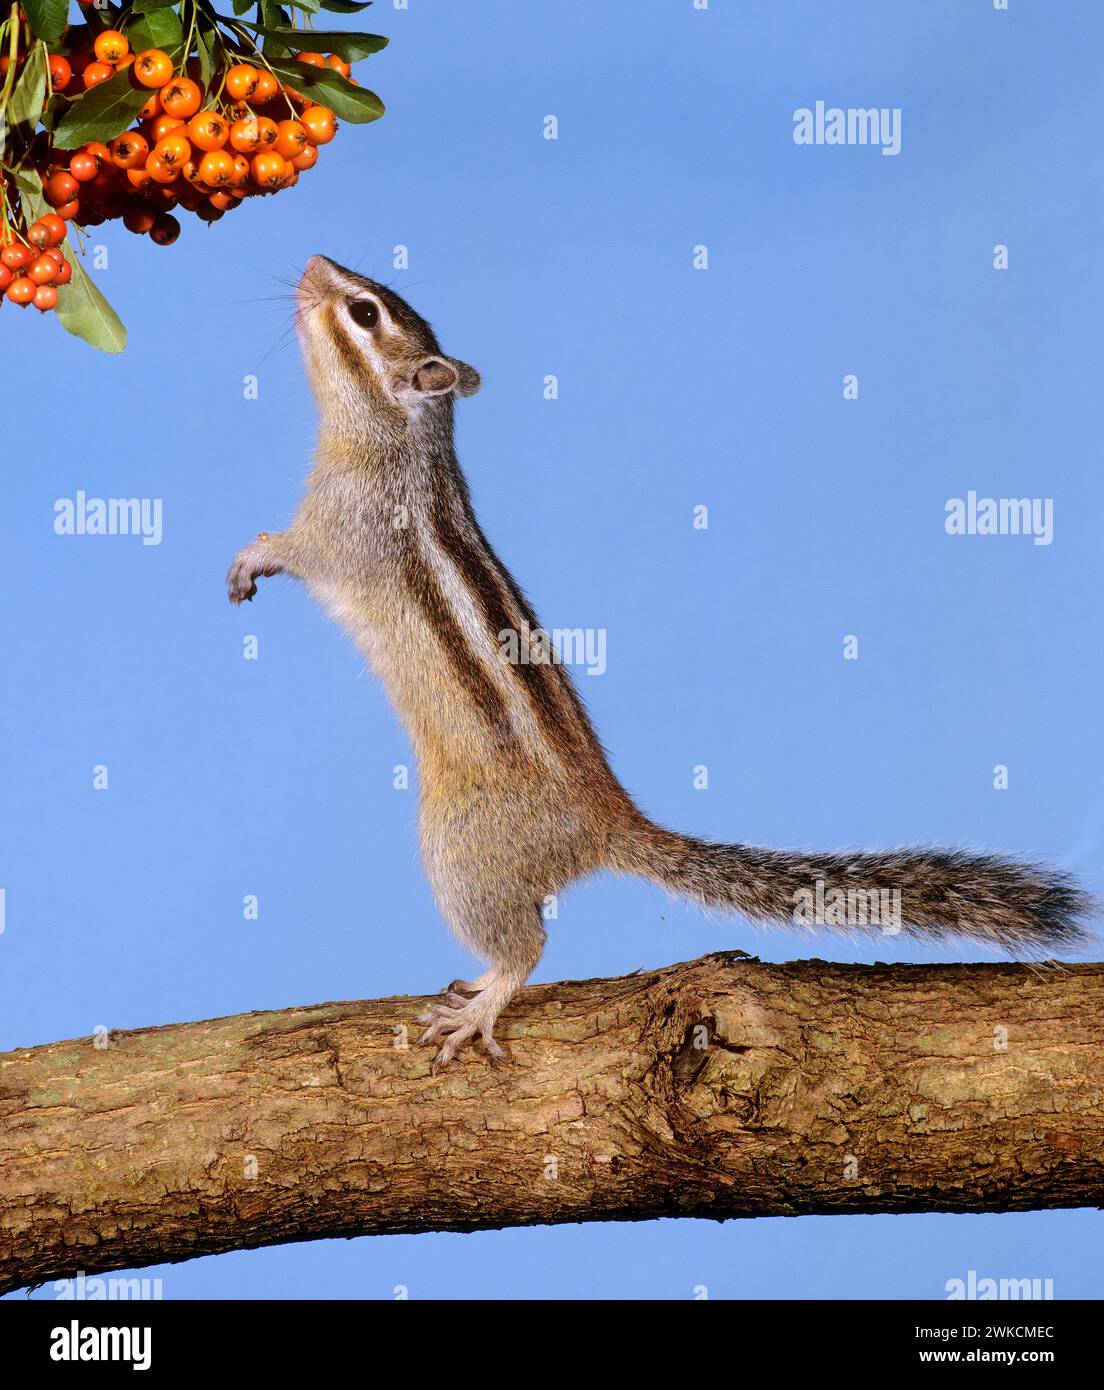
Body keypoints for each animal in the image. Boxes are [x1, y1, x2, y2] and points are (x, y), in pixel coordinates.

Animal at [228, 255, 1092, 1065]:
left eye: (364, 312)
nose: (312, 264)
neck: (399, 438)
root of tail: (609, 819)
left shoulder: (347, 525)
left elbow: (302, 549)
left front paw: (254, 554)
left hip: (460, 851)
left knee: (528, 944)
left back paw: (484, 1000)